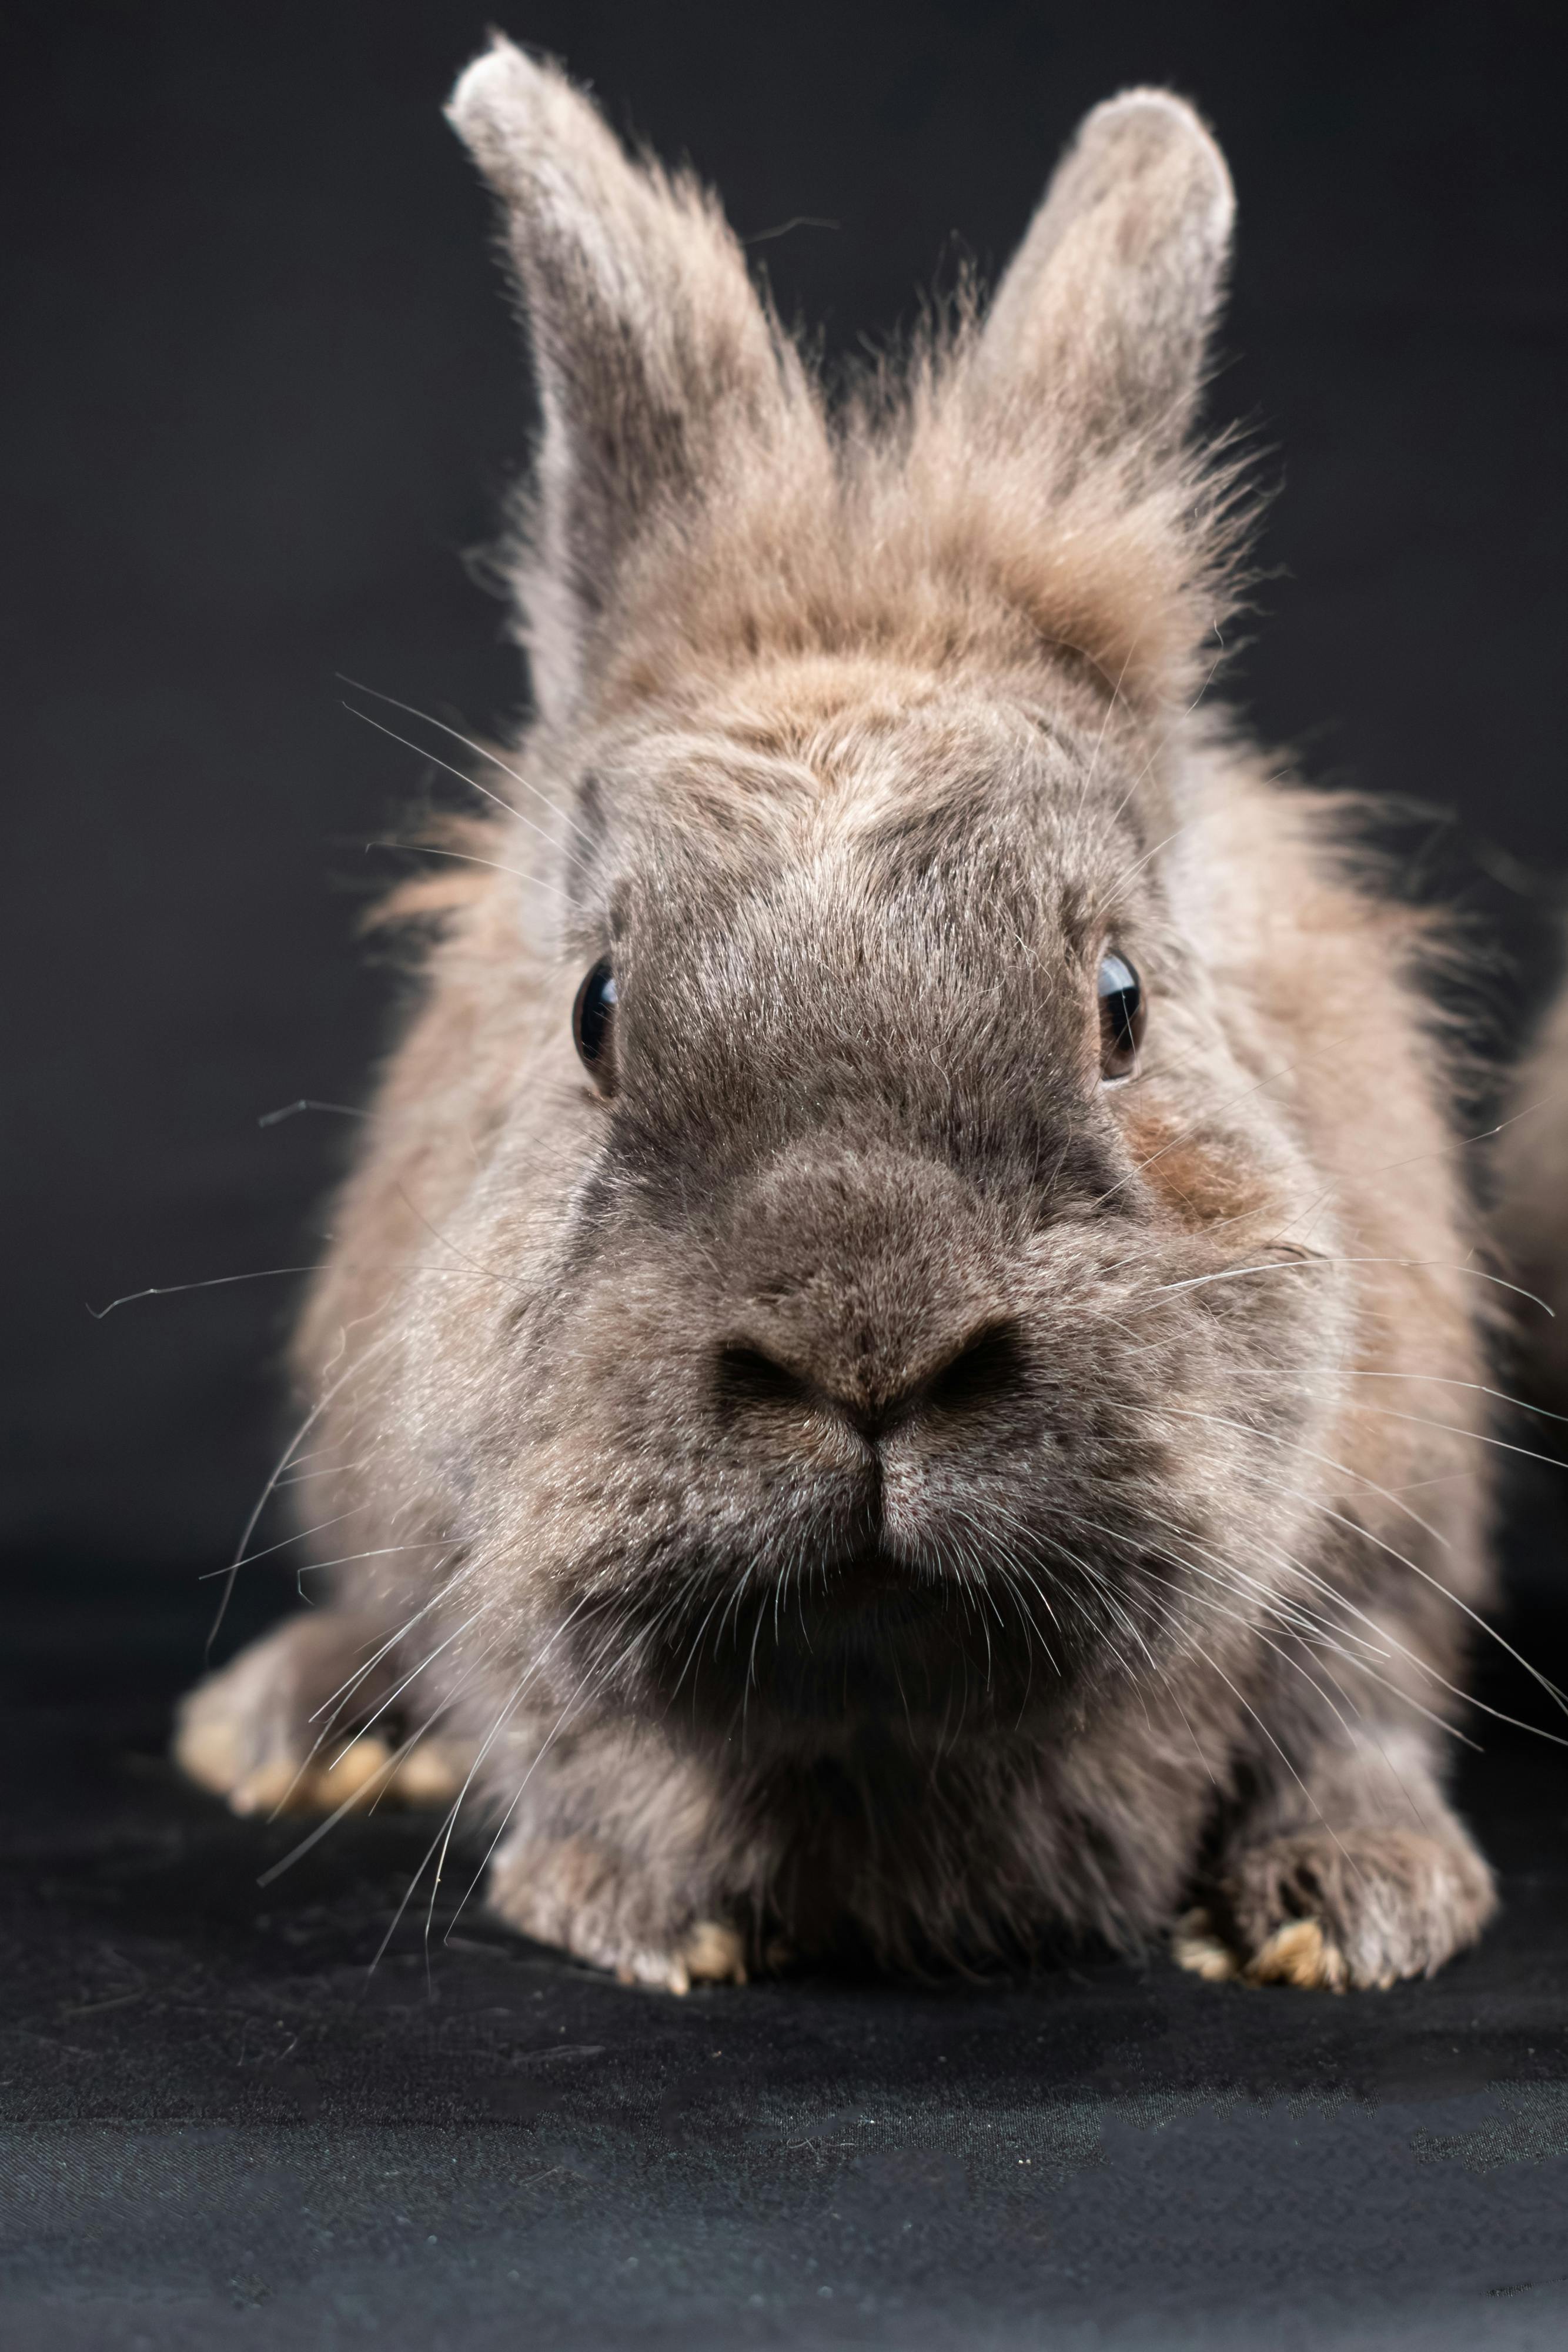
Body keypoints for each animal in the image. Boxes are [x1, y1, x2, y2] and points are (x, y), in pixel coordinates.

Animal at [175, 35, 1504, 1995]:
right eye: (594, 1012)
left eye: (1119, 1002)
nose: (867, 1355)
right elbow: (553, 1720)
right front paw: (630, 1904)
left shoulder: (1381, 1525)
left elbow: (1358, 1707)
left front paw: (1357, 1901)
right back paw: (285, 1725)